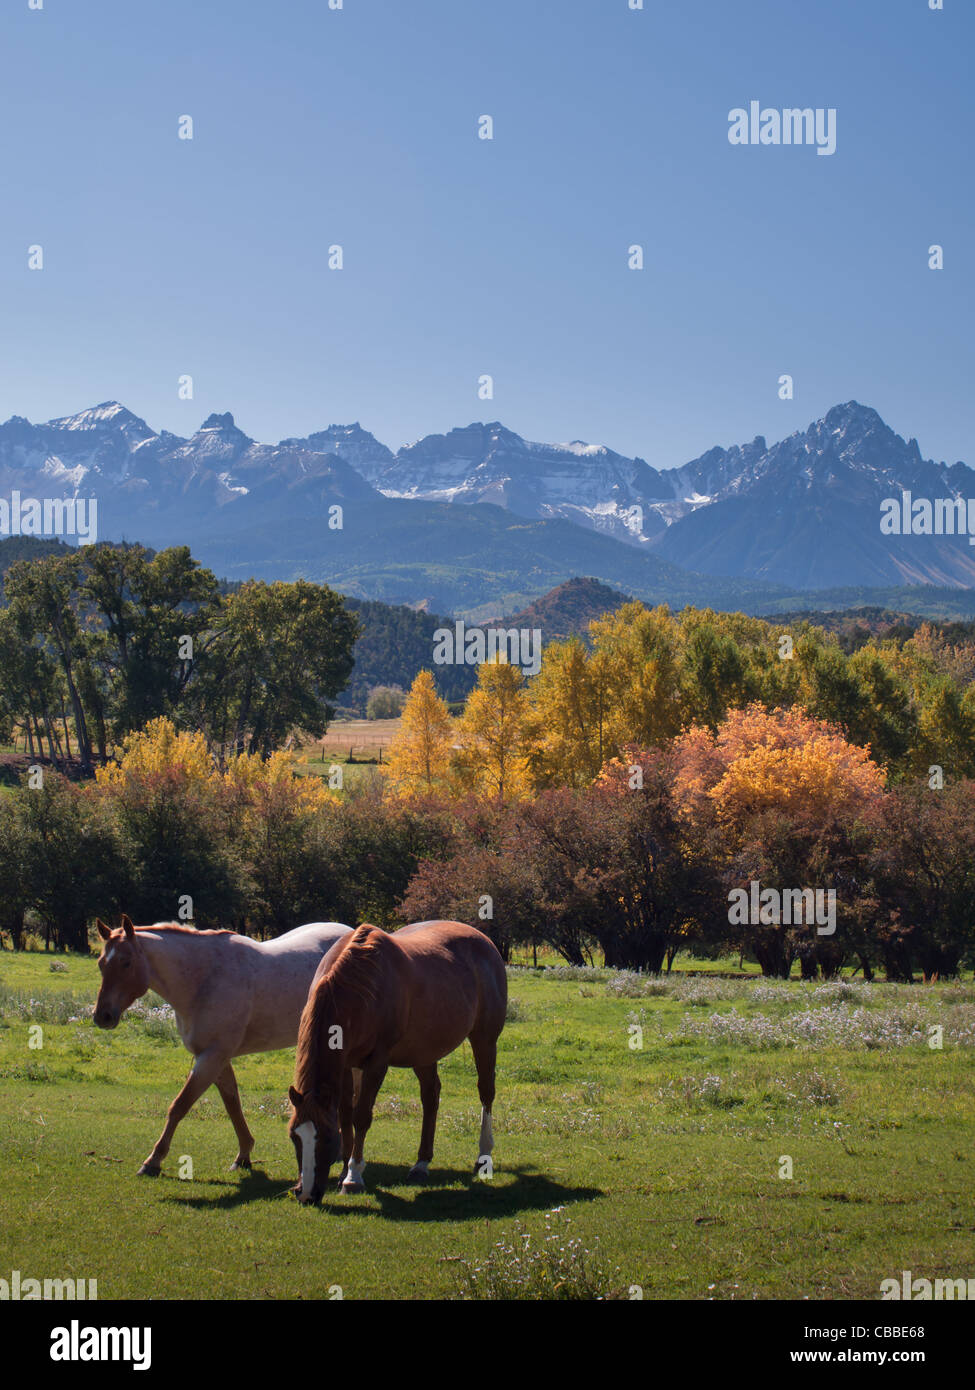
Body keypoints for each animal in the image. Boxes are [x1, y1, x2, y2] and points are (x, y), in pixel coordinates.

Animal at [93, 914, 353, 1176]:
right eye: (101, 963)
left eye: (126, 963)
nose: (102, 1016)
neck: (203, 979)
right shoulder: (215, 1057)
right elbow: (232, 1104)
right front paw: (244, 1155)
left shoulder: (212, 1056)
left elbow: (179, 1106)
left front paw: (153, 1160)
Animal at [288, 919, 507, 1204]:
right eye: (294, 1137)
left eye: (325, 1139)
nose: (305, 1194)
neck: (358, 986)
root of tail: (485, 942)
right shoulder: (345, 1063)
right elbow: (345, 1114)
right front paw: (344, 1170)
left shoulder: (376, 1063)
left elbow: (361, 1116)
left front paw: (353, 1177)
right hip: (424, 1051)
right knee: (431, 1096)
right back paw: (421, 1164)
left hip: (485, 1039)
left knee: (486, 1092)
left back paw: (483, 1156)